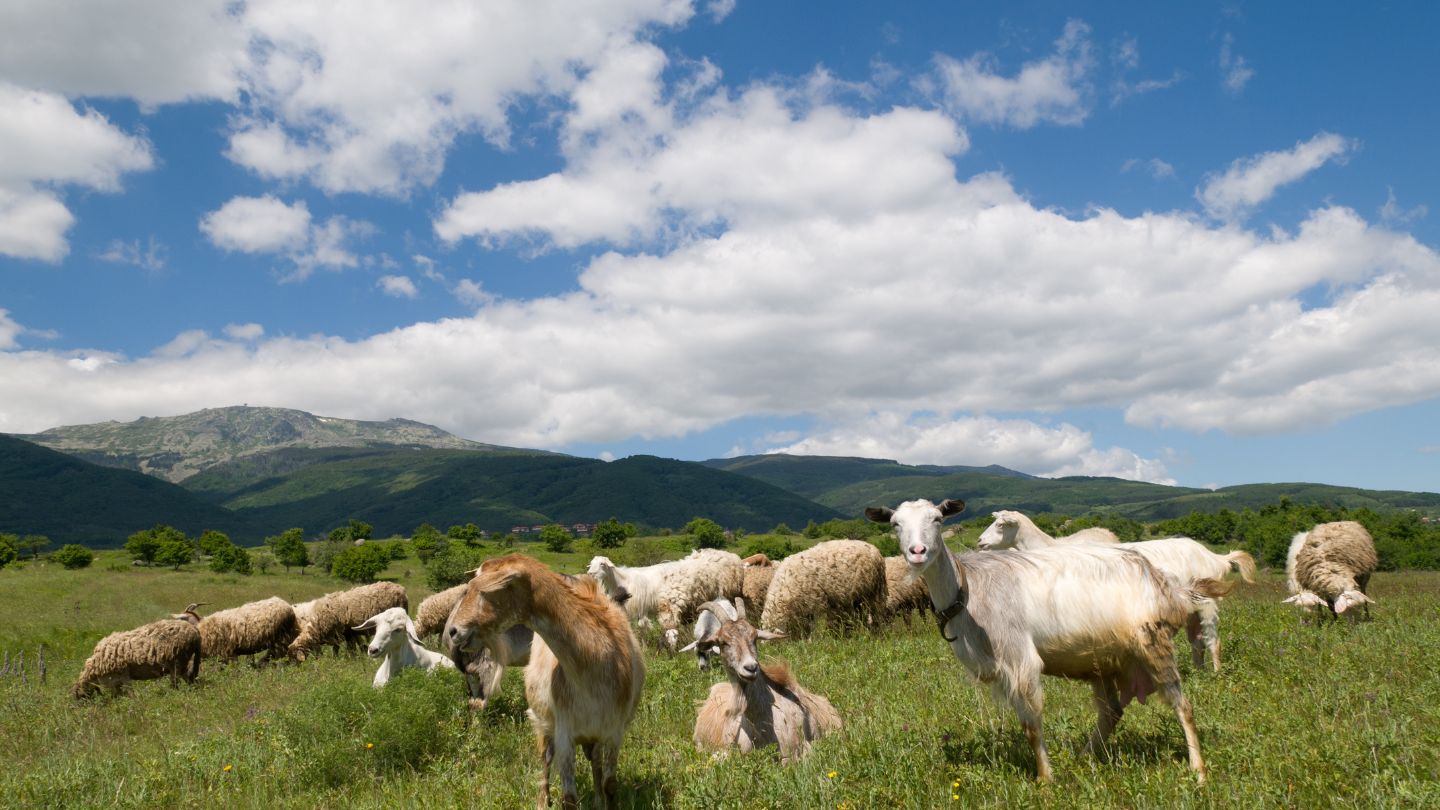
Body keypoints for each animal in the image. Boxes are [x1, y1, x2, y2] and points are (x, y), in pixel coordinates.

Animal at [73, 618, 201, 699]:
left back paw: (173, 695)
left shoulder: (122, 675)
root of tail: (195, 631)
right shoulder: (114, 681)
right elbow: (117, 695)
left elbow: (130, 693)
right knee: (189, 679)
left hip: (176, 662)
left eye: (80, 696)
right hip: (183, 662)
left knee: (176, 683)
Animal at [447, 554, 644, 810]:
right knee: (545, 760)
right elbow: (569, 798)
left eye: (486, 589)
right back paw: (543, 801)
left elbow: (610, 784)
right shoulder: (564, 732)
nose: (453, 631)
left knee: (594, 761)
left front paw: (602, 799)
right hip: (544, 723)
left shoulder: (613, 730)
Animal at [587, 548, 743, 650]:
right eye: (591, 564)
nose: (590, 574)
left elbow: (653, 629)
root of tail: (730, 555)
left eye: (602, 564)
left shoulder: (652, 607)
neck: (623, 581)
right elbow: (643, 628)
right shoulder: (641, 611)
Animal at [868, 498, 1224, 782]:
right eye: (896, 524)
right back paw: (1085, 755)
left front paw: (1045, 779)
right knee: (1111, 712)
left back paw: (1198, 770)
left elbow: (1031, 725)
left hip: (1152, 644)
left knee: (1183, 705)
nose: (917, 552)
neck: (967, 589)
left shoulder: (1019, 658)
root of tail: (1164, 583)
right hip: (1104, 661)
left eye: (938, 519)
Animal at [977, 509, 1257, 672]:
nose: (980, 543)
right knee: (1197, 640)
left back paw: (1216, 673)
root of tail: (1214, 557)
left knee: (1211, 637)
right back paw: (1198, 673)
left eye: (1001, 525)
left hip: (1207, 600)